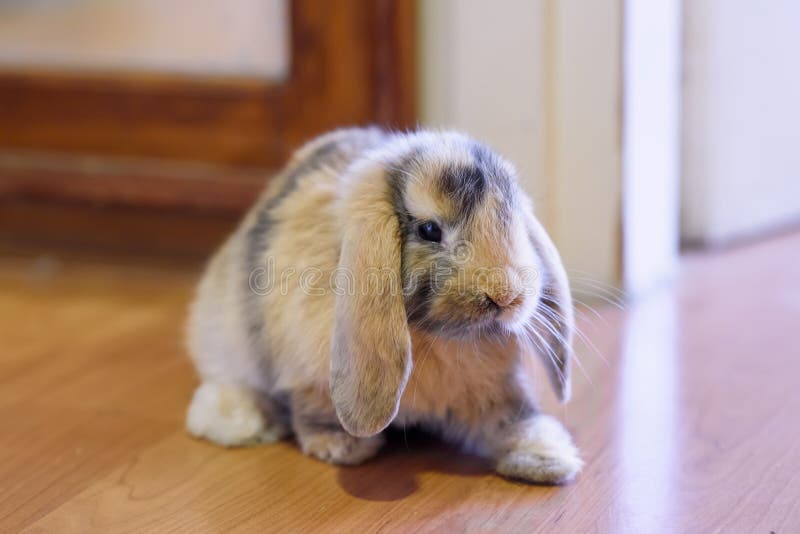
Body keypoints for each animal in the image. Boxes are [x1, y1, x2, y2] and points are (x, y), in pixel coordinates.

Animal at [185, 127, 583, 484]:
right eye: (429, 230)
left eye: (512, 220)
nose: (507, 295)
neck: (433, 335)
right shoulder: (309, 371)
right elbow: (313, 408)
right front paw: (341, 447)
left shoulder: (495, 391)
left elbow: (517, 419)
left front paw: (546, 460)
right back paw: (239, 421)